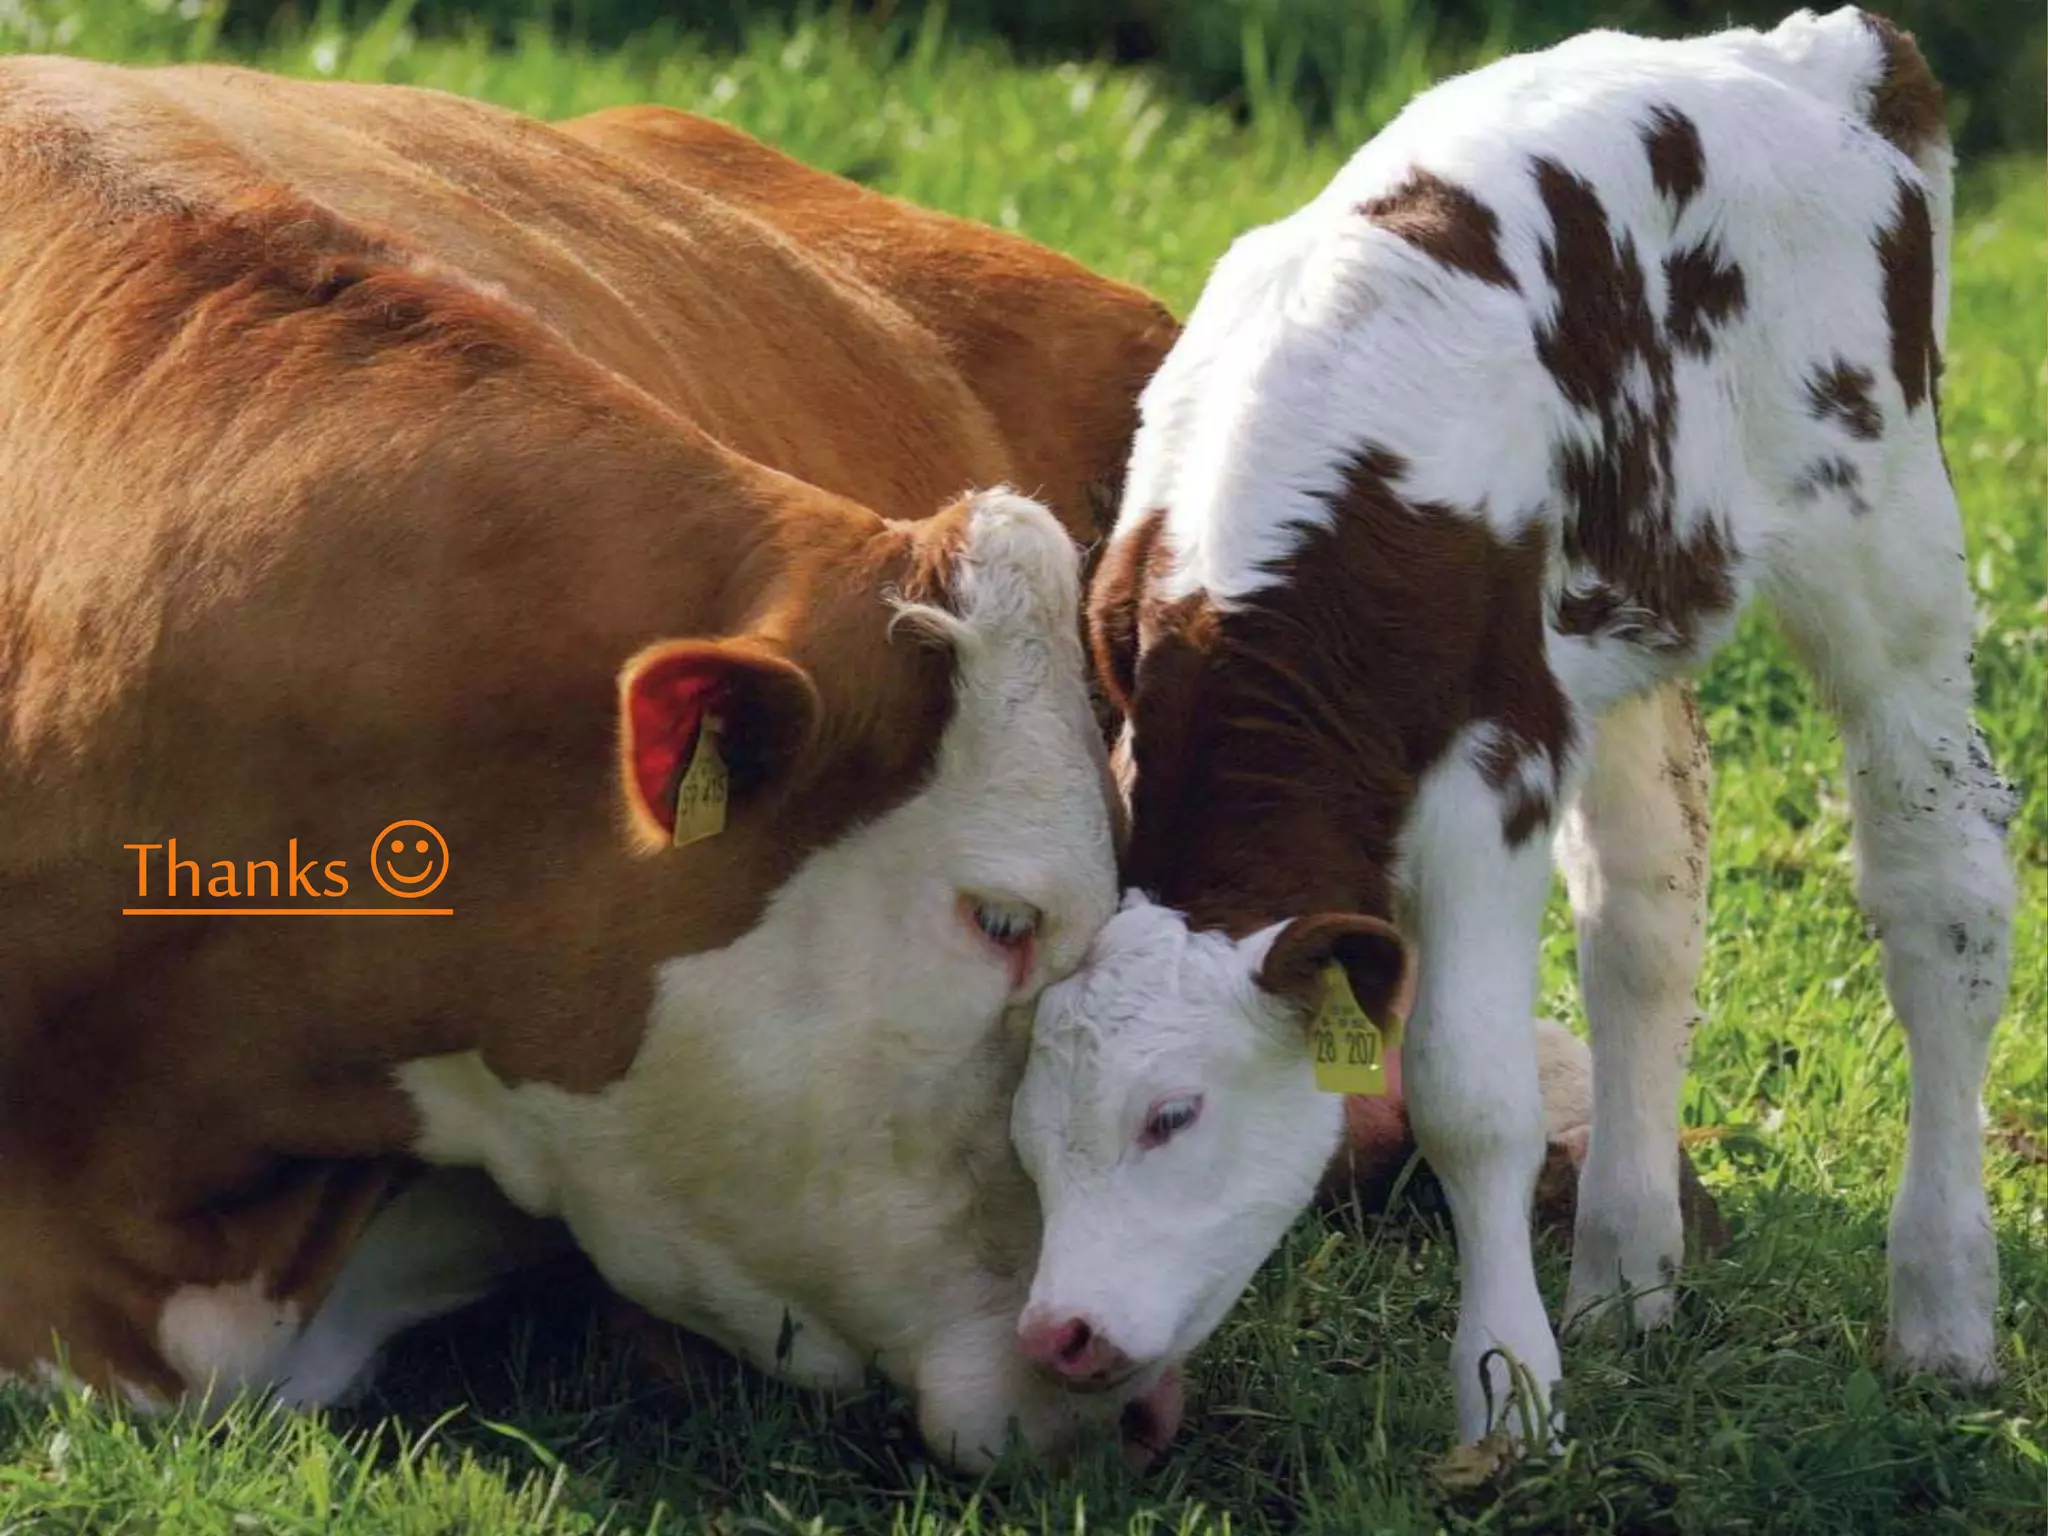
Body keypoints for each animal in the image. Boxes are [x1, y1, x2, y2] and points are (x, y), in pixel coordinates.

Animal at [1011, 7, 2017, 1452]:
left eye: (1171, 1116)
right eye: (1024, 1138)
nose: (1060, 1333)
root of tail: (1812, 50)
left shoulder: (1491, 767)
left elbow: (1466, 1096)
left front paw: (1506, 1394)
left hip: (1884, 541)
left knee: (1944, 895)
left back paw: (1941, 1312)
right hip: (1627, 615)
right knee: (1648, 916)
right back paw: (1625, 1273)